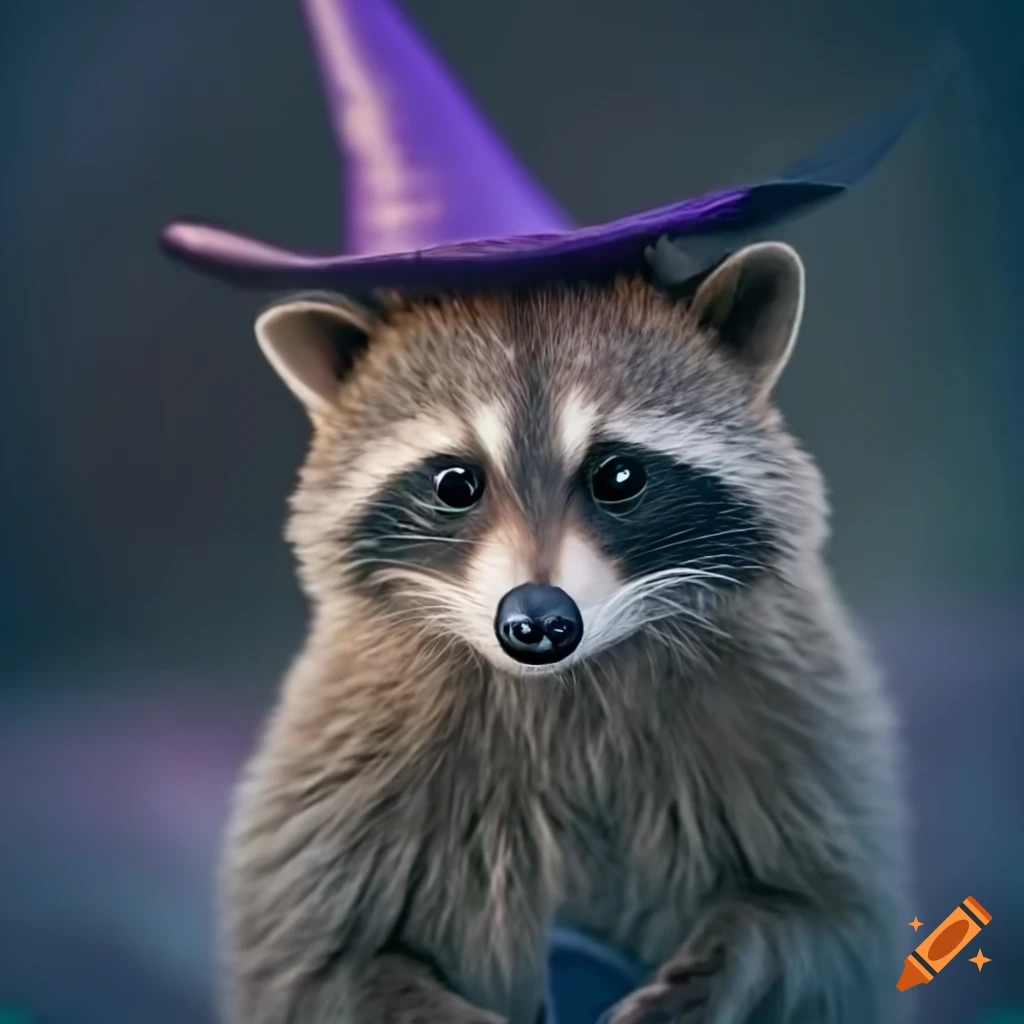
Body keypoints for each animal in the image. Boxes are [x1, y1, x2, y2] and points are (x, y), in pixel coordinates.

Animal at [219, 242, 909, 1024]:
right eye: (455, 483)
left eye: (619, 476)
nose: (538, 624)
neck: (561, 684)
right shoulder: (343, 761)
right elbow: (311, 972)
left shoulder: (795, 721)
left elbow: (827, 925)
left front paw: (716, 970)